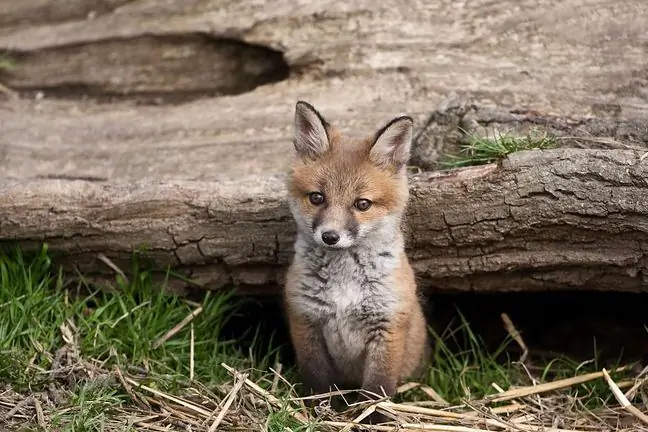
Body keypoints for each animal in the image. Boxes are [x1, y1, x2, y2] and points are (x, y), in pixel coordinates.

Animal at [282, 100, 430, 422]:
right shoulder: (306, 321)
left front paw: (372, 418)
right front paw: (320, 411)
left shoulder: (387, 325)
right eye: (317, 198)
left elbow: (377, 387)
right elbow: (318, 381)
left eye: (362, 204)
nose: (330, 236)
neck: (344, 285)